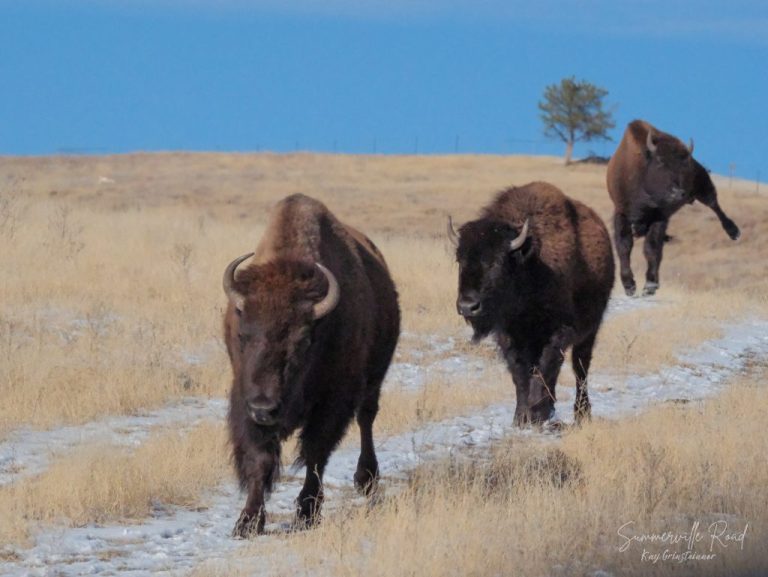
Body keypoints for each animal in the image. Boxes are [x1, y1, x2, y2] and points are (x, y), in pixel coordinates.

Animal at [222, 193, 400, 537]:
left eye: (303, 340)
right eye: (242, 335)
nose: (264, 409)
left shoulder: (333, 401)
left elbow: (316, 453)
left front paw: (307, 513)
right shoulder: (244, 399)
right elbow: (260, 459)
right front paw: (248, 522)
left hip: (374, 378)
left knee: (366, 418)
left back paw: (366, 479)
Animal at [448, 182, 614, 425]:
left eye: (497, 262)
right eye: (460, 260)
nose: (468, 306)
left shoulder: (558, 332)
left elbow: (543, 369)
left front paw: (535, 414)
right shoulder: (509, 337)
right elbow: (521, 374)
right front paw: (521, 418)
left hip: (590, 331)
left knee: (580, 368)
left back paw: (581, 413)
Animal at [607, 119, 740, 296]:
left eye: (683, 166)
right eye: (659, 162)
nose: (678, 192)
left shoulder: (660, 217)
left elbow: (651, 248)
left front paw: (650, 285)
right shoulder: (621, 213)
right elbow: (624, 246)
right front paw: (629, 286)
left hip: (703, 187)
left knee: (714, 204)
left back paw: (734, 232)